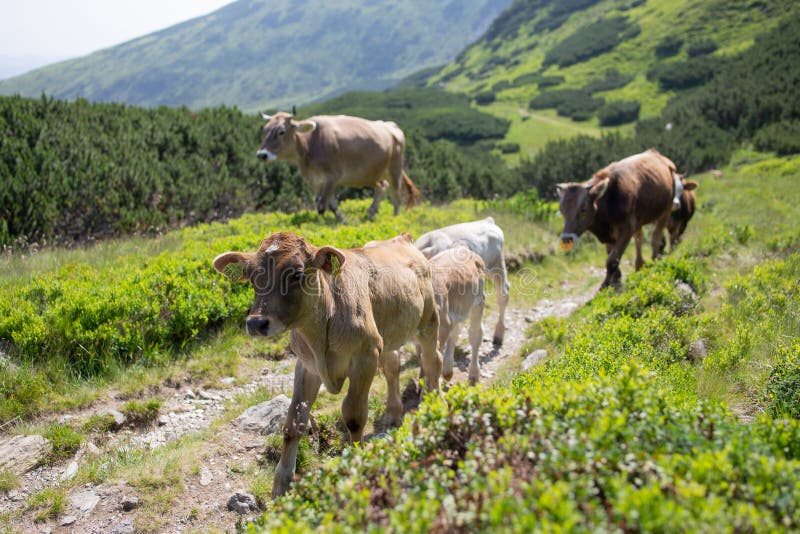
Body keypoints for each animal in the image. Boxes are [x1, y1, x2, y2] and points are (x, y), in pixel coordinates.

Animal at [213, 231, 441, 497]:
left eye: (297, 274)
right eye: (251, 276)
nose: (256, 323)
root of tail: (402, 238)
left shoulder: (365, 358)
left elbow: (354, 416)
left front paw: (356, 464)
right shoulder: (306, 366)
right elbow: (293, 422)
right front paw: (281, 482)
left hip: (428, 322)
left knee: (433, 361)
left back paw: (434, 405)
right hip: (389, 336)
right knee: (393, 366)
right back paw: (394, 414)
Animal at [257, 112, 421, 221]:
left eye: (281, 132)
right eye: (264, 130)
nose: (262, 154)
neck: (310, 144)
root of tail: (390, 125)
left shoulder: (332, 176)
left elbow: (322, 205)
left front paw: (331, 222)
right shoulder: (315, 180)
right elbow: (328, 203)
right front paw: (341, 219)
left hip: (395, 168)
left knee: (396, 194)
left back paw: (395, 217)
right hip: (370, 173)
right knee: (382, 187)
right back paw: (372, 213)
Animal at [556, 149, 679, 289]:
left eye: (583, 209)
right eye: (562, 210)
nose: (567, 238)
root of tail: (656, 154)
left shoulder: (627, 229)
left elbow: (612, 259)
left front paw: (605, 285)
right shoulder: (609, 234)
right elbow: (611, 254)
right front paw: (616, 279)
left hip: (665, 211)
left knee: (655, 238)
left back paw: (653, 262)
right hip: (639, 220)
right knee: (639, 239)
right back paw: (639, 265)